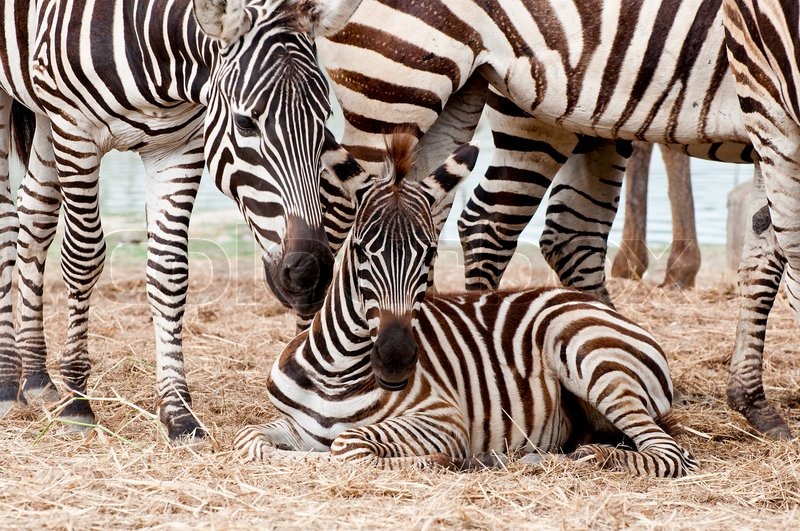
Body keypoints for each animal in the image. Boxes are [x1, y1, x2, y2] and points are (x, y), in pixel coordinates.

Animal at [0, 0, 362, 440]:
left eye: (324, 120)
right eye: (245, 123)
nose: (309, 273)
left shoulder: (178, 146)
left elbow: (168, 273)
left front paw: (177, 411)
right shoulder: (76, 130)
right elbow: (83, 258)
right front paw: (77, 403)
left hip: (42, 110)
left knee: (35, 211)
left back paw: (36, 377)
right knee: (7, 220)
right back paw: (8, 383)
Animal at [234, 132, 697, 478]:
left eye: (429, 254)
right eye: (363, 250)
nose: (396, 360)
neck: (335, 373)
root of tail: (597, 306)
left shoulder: (443, 417)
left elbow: (348, 445)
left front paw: (437, 461)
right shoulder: (292, 424)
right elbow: (250, 442)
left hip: (592, 359)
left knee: (670, 453)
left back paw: (589, 458)